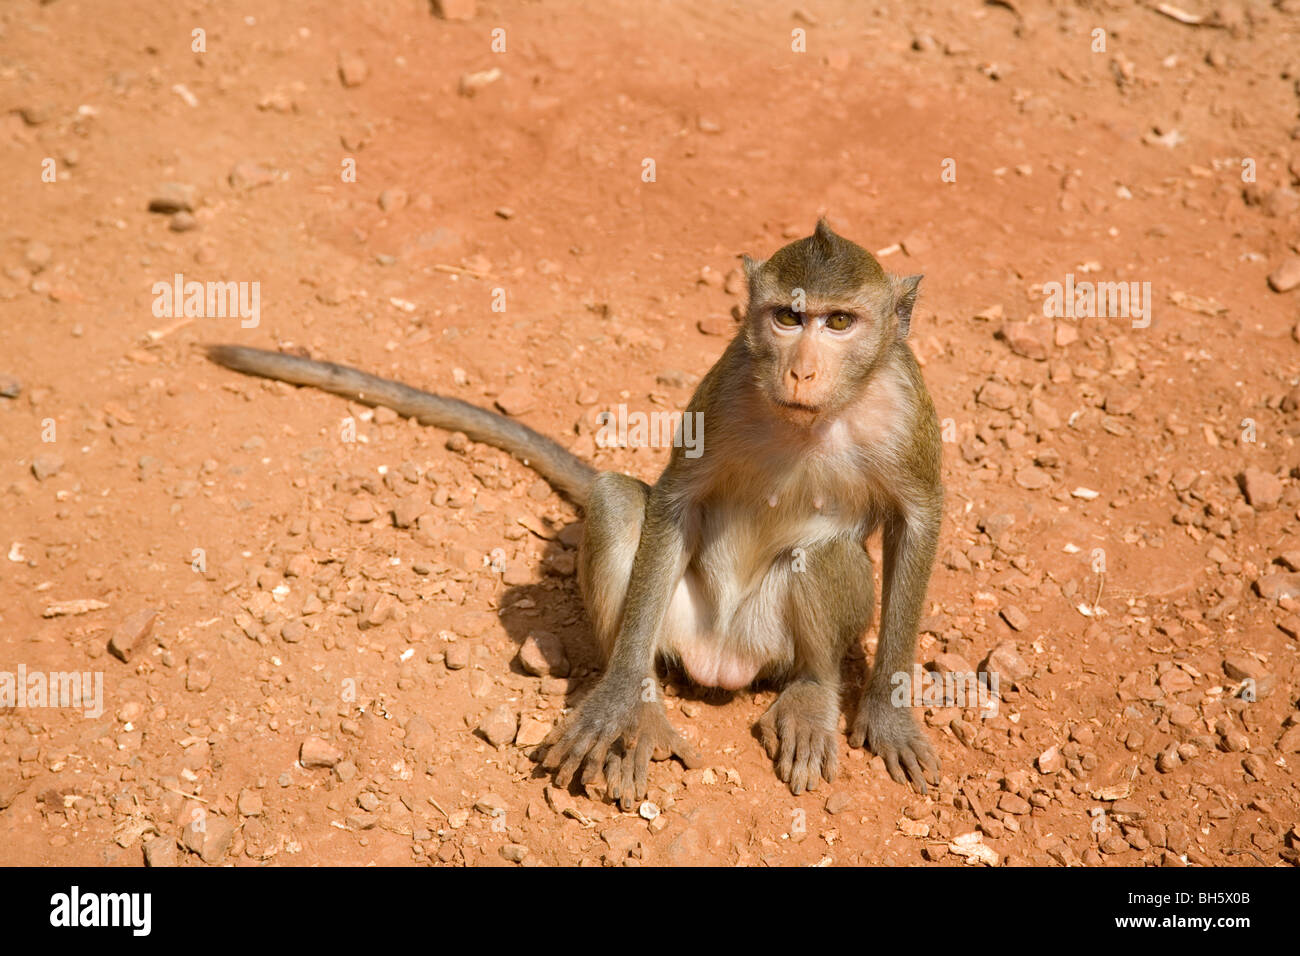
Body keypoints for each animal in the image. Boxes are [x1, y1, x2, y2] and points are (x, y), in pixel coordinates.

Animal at [206, 218, 943, 805]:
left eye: (839, 321)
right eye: (788, 318)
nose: (800, 371)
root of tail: (721, 659)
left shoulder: (907, 403)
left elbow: (918, 518)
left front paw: (888, 710)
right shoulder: (730, 380)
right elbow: (675, 497)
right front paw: (617, 703)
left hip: (769, 642)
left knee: (828, 553)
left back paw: (814, 692)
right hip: (678, 619)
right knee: (618, 503)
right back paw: (640, 704)